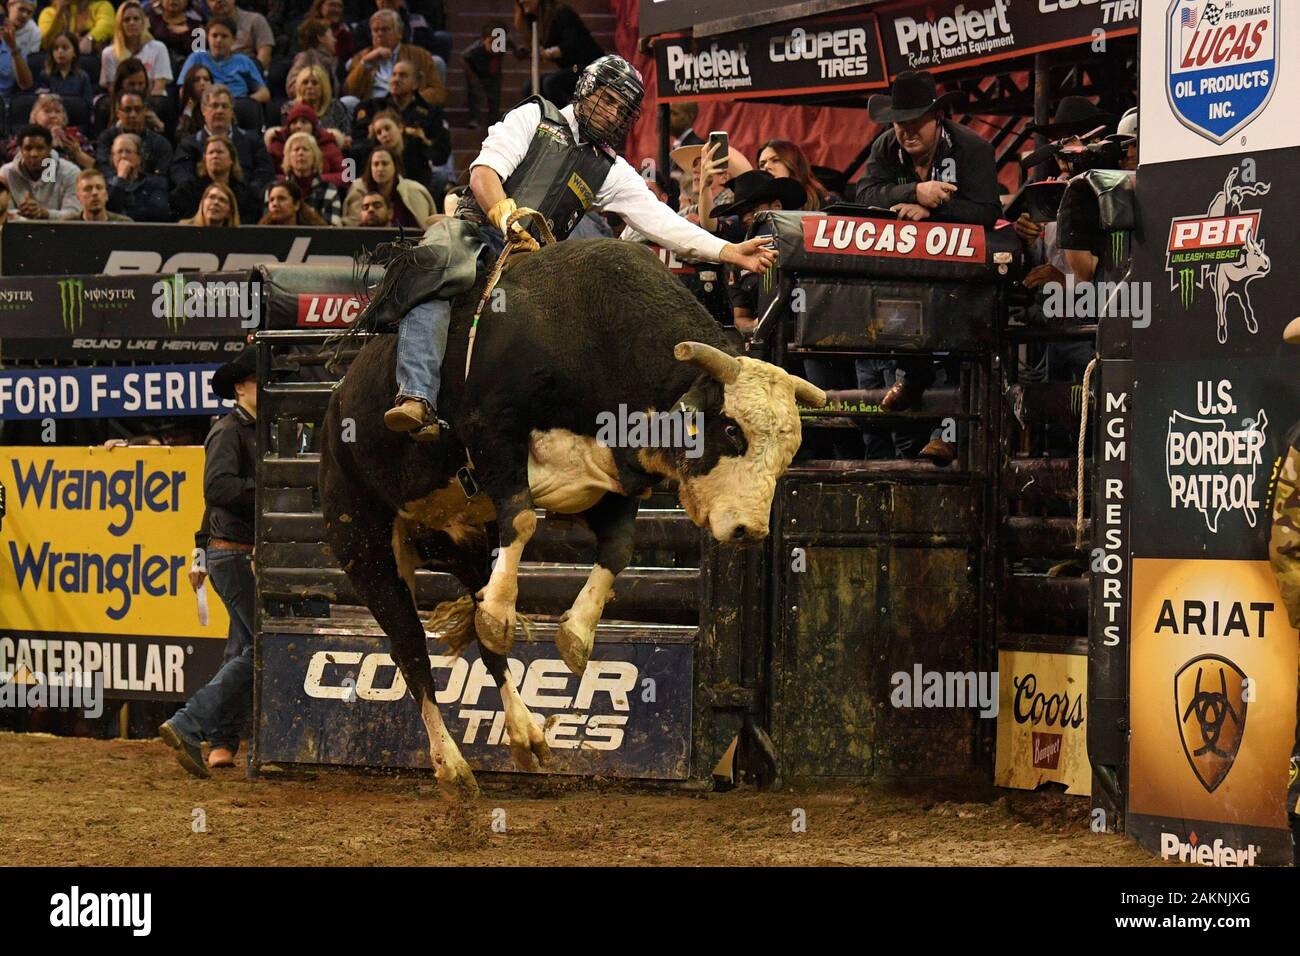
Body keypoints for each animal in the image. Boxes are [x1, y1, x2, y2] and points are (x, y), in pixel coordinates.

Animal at [319, 238, 827, 796]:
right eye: (733, 430)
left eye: (789, 453)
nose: (749, 530)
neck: (590, 332)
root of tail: (336, 403)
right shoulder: (495, 436)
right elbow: (522, 520)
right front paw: (511, 615)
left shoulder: (614, 476)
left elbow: (618, 550)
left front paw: (575, 635)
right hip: (363, 541)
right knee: (409, 648)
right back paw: (452, 764)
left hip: (460, 539)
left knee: (483, 637)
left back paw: (525, 733)